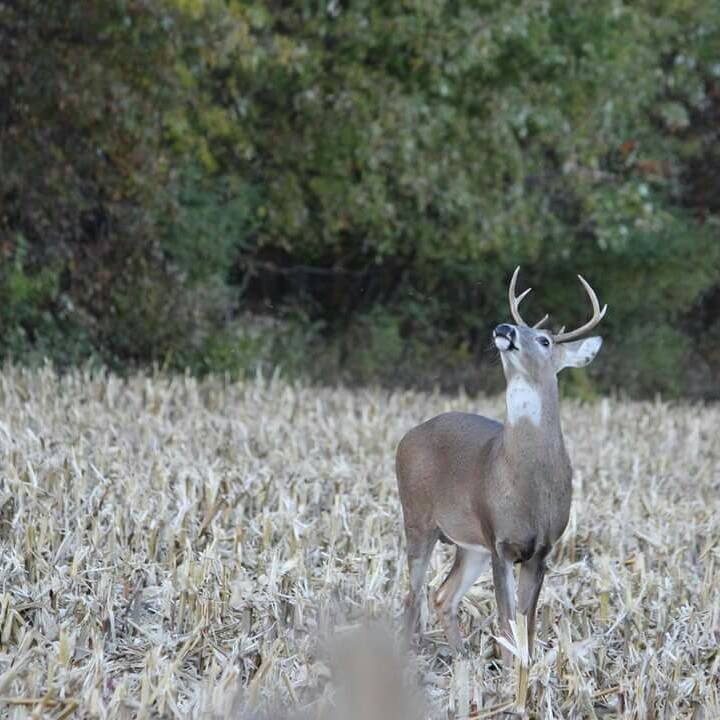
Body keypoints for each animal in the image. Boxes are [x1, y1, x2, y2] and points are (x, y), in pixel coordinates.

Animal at [396, 267, 606, 667]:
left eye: (544, 340)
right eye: (517, 326)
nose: (504, 328)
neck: (529, 484)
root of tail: (406, 437)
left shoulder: (541, 549)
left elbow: (527, 623)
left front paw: (525, 669)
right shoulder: (500, 541)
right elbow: (508, 621)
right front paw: (512, 673)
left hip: (469, 544)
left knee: (442, 595)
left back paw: (462, 658)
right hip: (417, 518)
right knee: (413, 594)